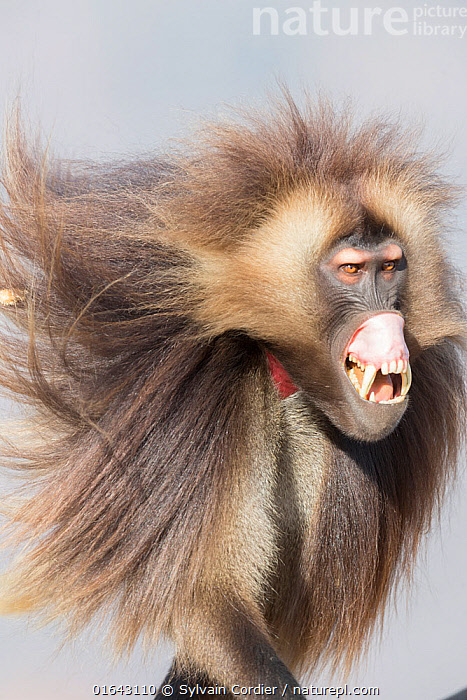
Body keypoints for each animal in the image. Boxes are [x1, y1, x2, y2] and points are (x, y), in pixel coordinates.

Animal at [0, 94, 465, 698]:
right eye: (351, 270)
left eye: (390, 267)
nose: (390, 321)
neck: (288, 378)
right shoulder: (224, 398)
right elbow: (208, 598)